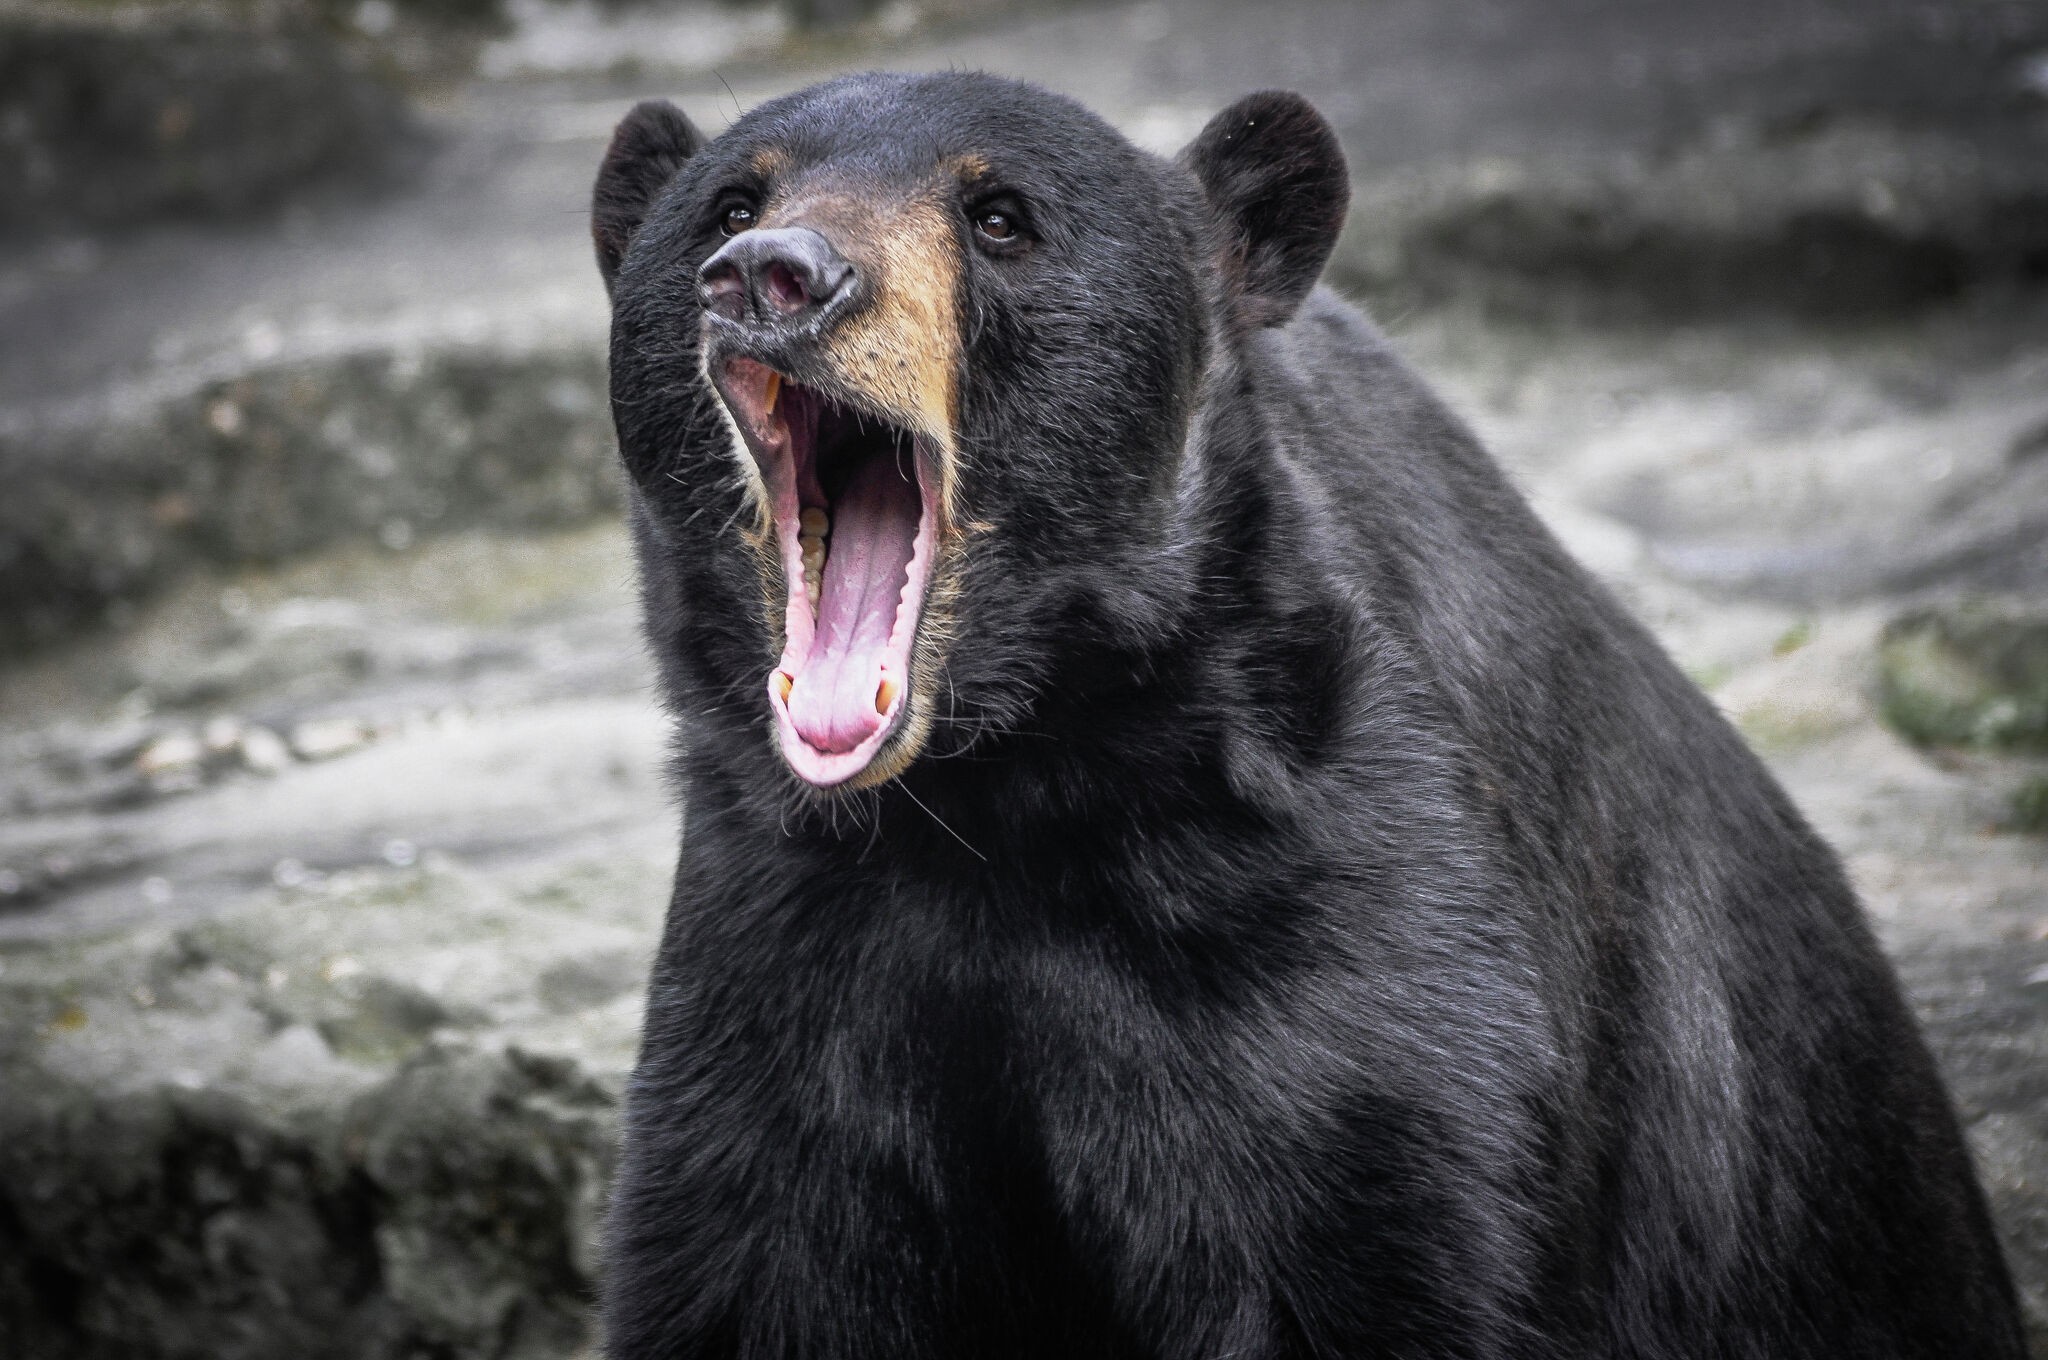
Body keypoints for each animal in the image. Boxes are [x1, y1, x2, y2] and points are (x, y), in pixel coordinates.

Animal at [589, 72, 2025, 1358]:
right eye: (730, 201)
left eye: (999, 215)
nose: (774, 276)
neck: (1009, 787)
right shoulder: (789, 960)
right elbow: (753, 1270)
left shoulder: (1348, 934)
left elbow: (1381, 1228)